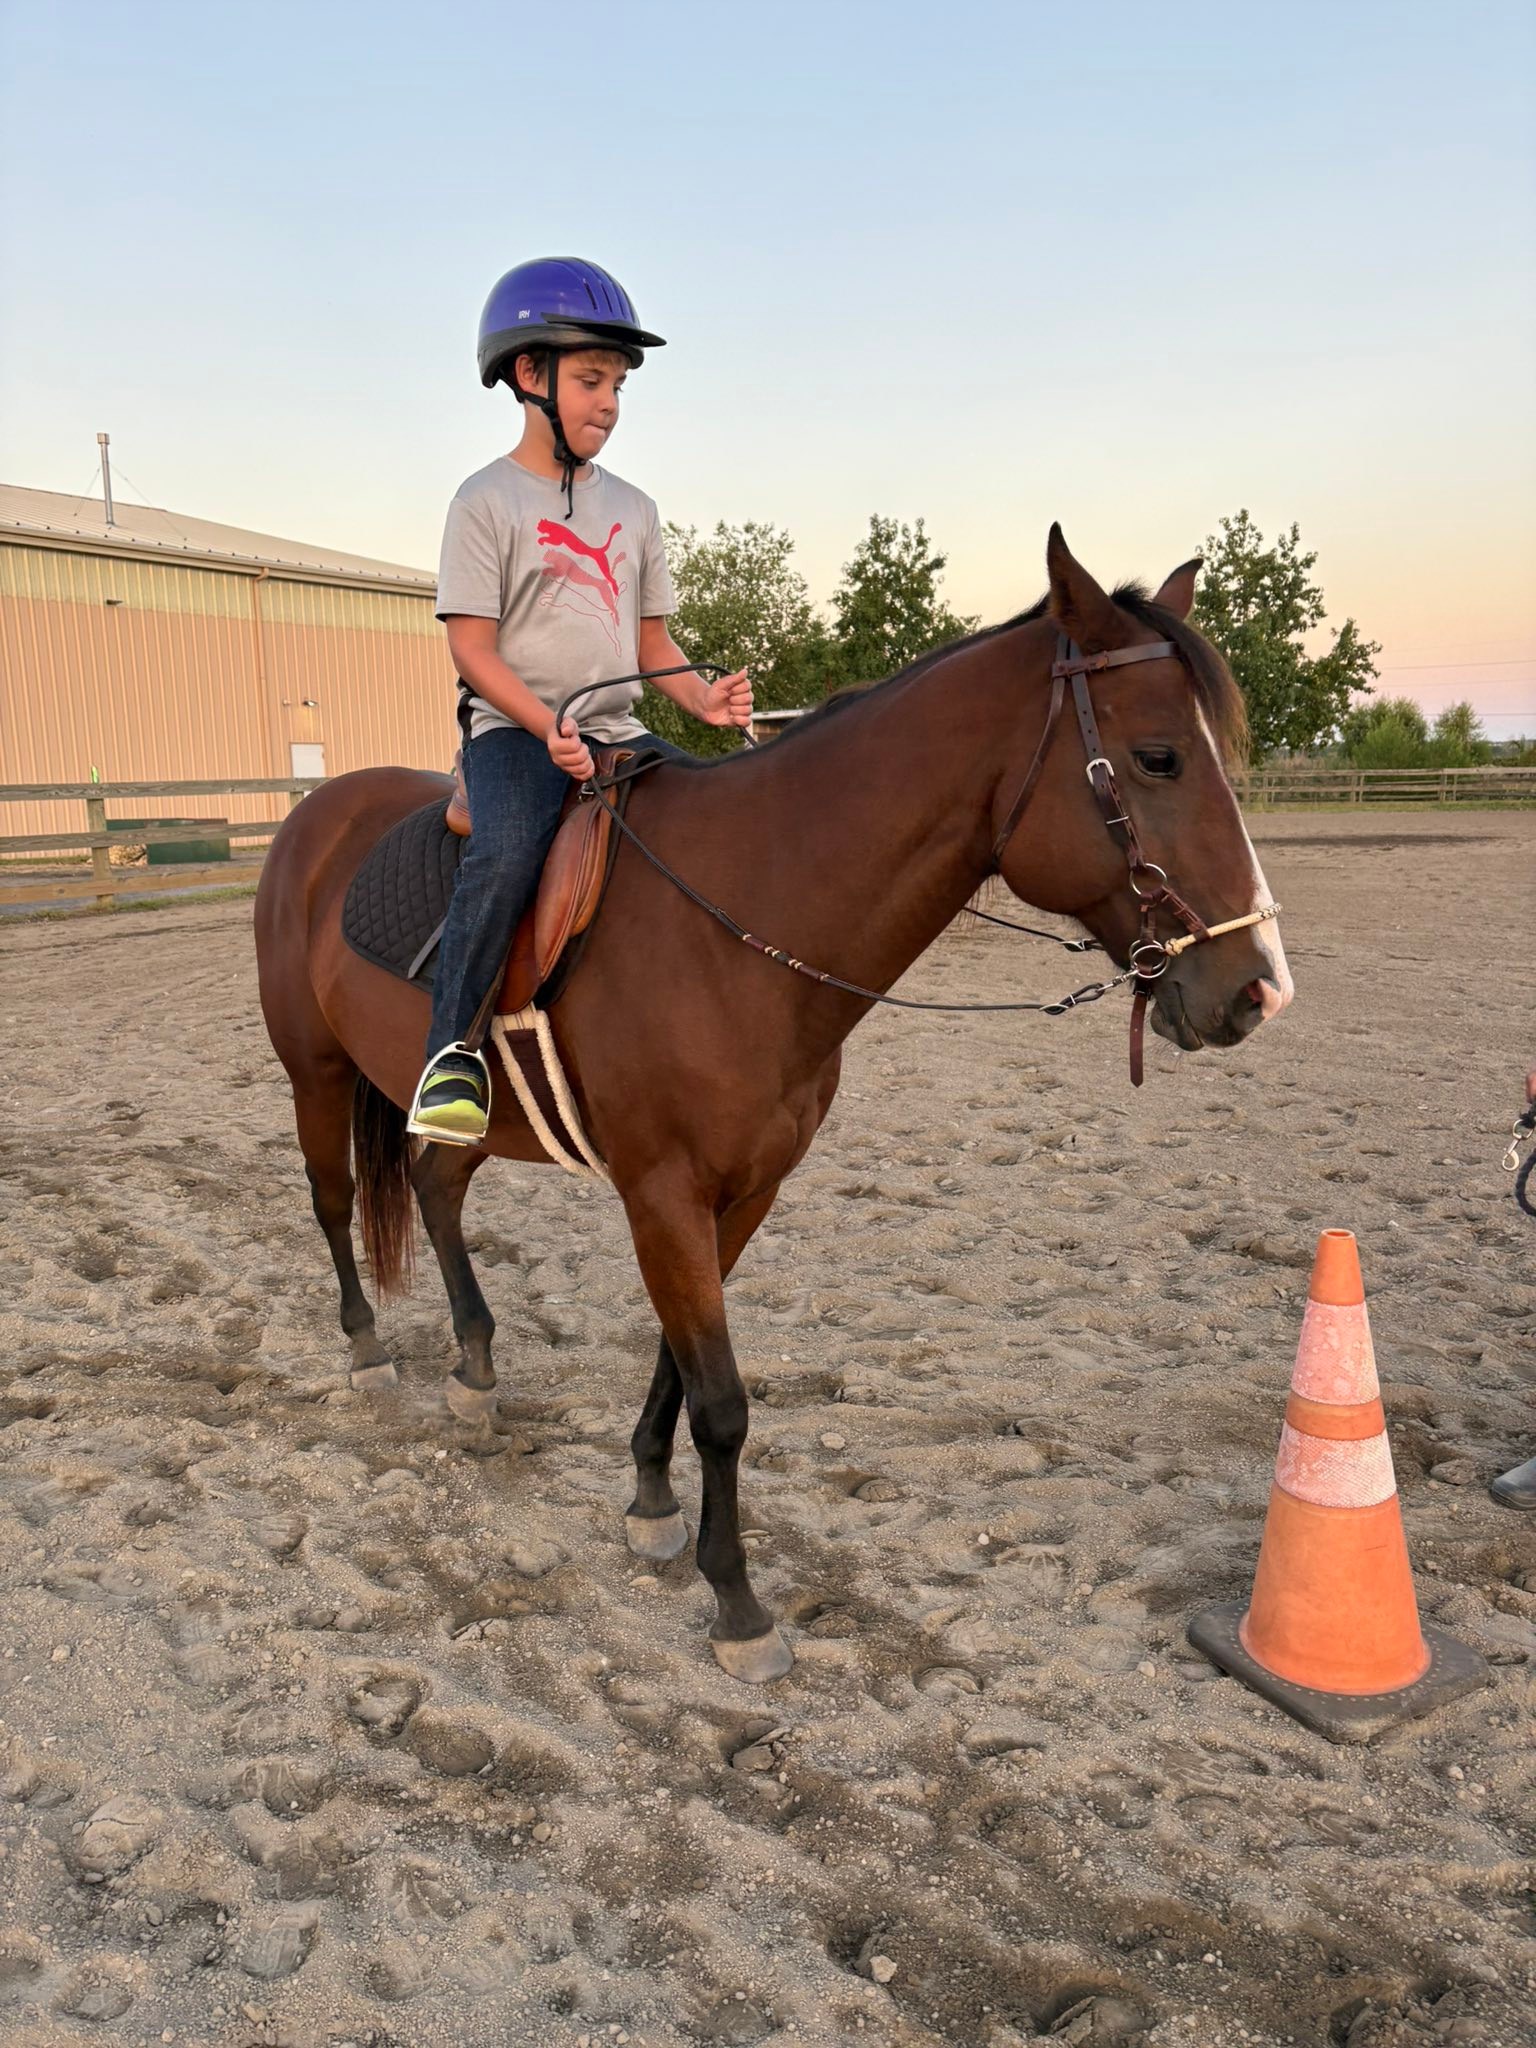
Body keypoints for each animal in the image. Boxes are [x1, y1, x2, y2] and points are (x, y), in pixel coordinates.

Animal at [254, 527, 1293, 1682]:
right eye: (1158, 757)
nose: (1256, 988)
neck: (743, 922)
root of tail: (313, 814)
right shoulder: (663, 1194)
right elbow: (721, 1400)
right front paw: (738, 1603)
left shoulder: (745, 1189)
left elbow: (680, 1362)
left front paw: (651, 1501)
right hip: (316, 1073)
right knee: (332, 1201)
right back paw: (365, 1350)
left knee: (436, 1187)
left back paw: (476, 1368)